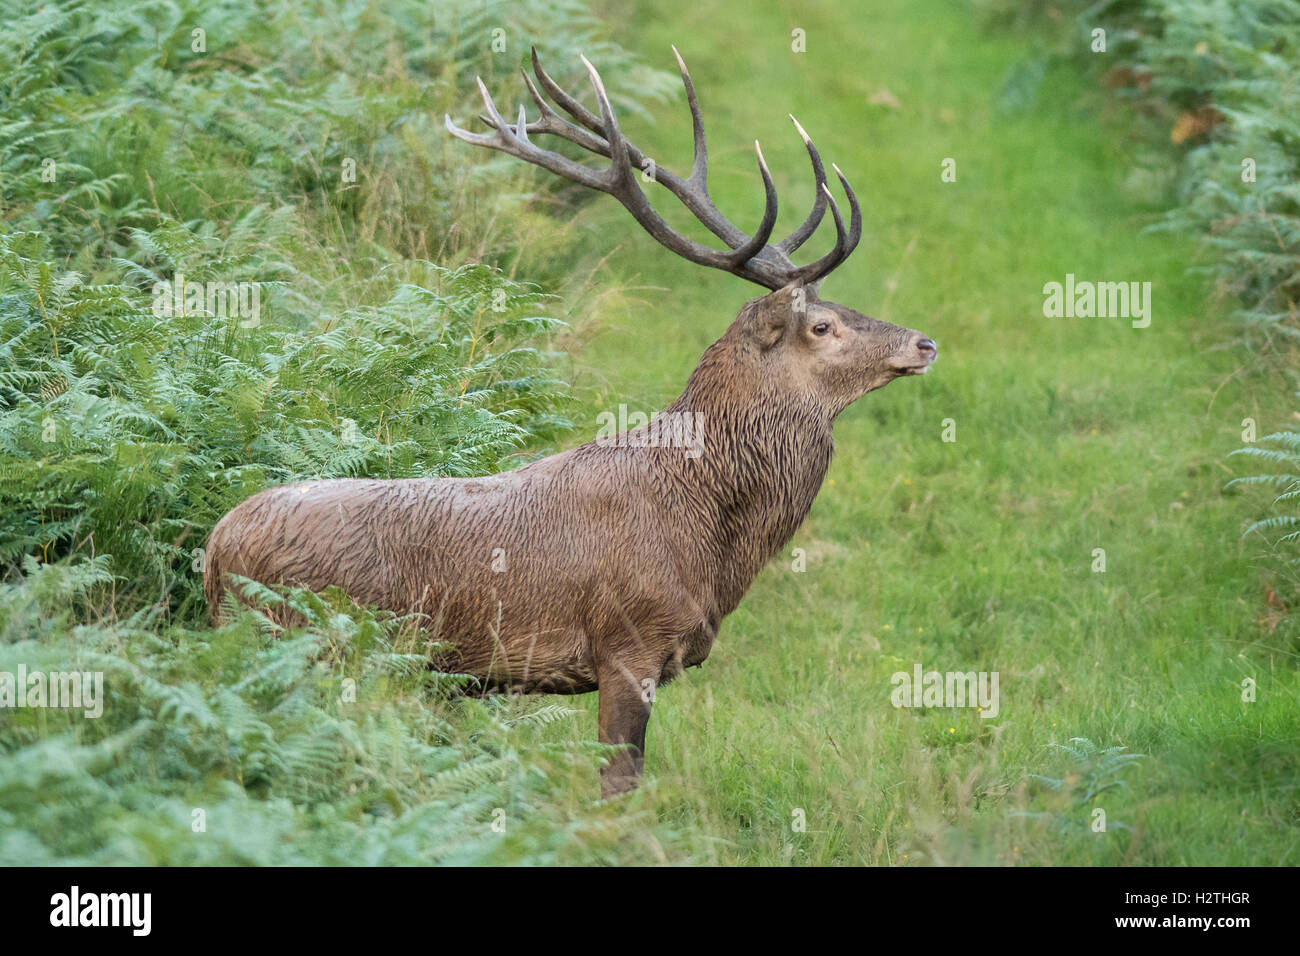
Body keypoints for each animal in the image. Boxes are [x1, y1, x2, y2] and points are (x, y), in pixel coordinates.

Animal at [203, 48, 938, 797]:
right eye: (823, 326)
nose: (924, 343)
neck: (712, 537)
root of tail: (212, 551)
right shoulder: (628, 644)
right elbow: (619, 784)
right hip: (297, 635)